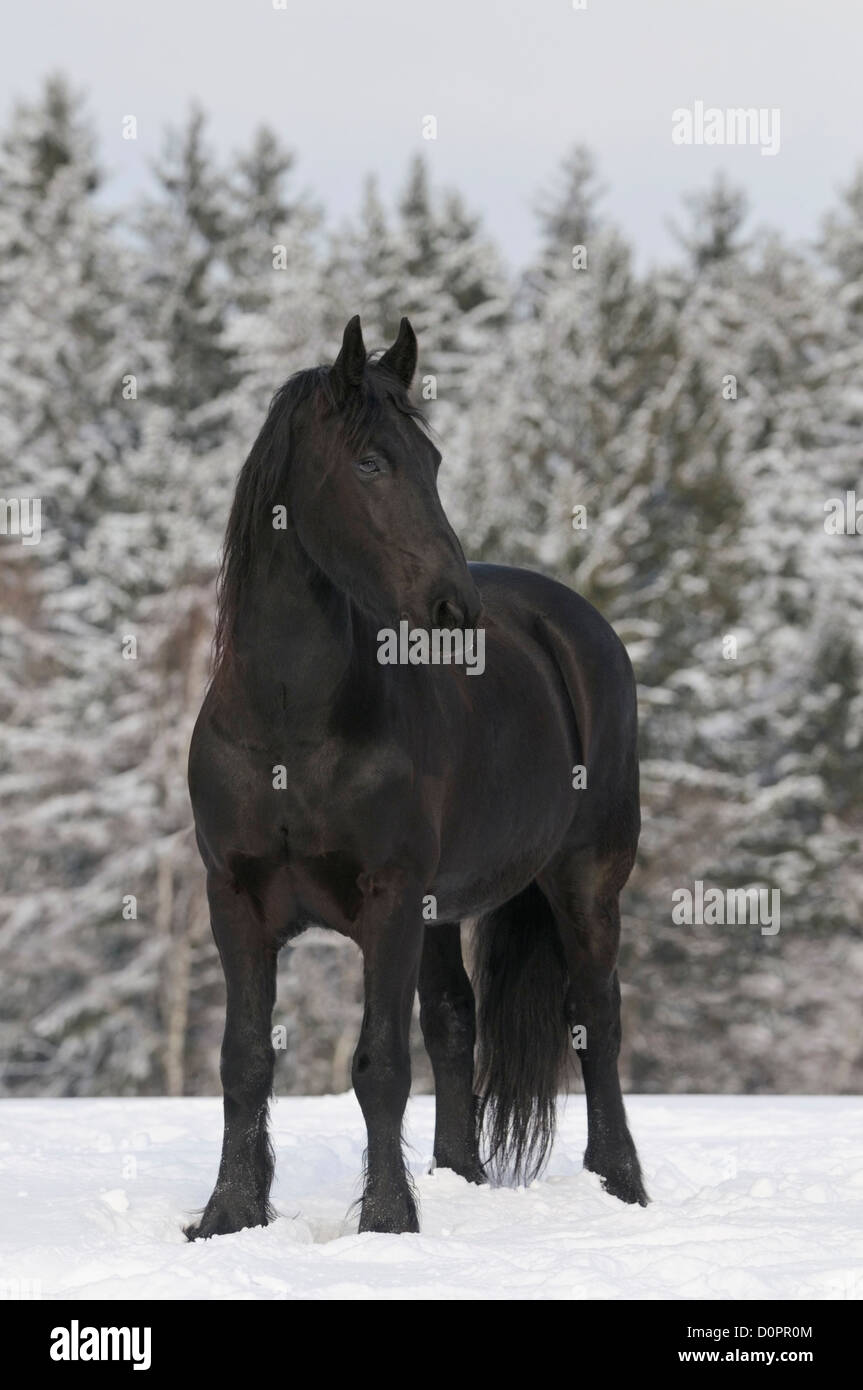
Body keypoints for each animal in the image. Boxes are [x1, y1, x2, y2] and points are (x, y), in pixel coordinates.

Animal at [186, 314, 647, 1238]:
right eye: (370, 462)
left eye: (430, 460)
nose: (451, 609)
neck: (289, 724)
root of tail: (573, 626)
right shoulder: (236, 898)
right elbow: (244, 1060)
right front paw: (228, 1215)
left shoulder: (389, 899)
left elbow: (378, 1066)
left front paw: (388, 1222)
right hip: (444, 907)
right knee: (454, 1020)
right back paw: (457, 1173)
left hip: (585, 882)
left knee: (596, 1019)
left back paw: (620, 1184)